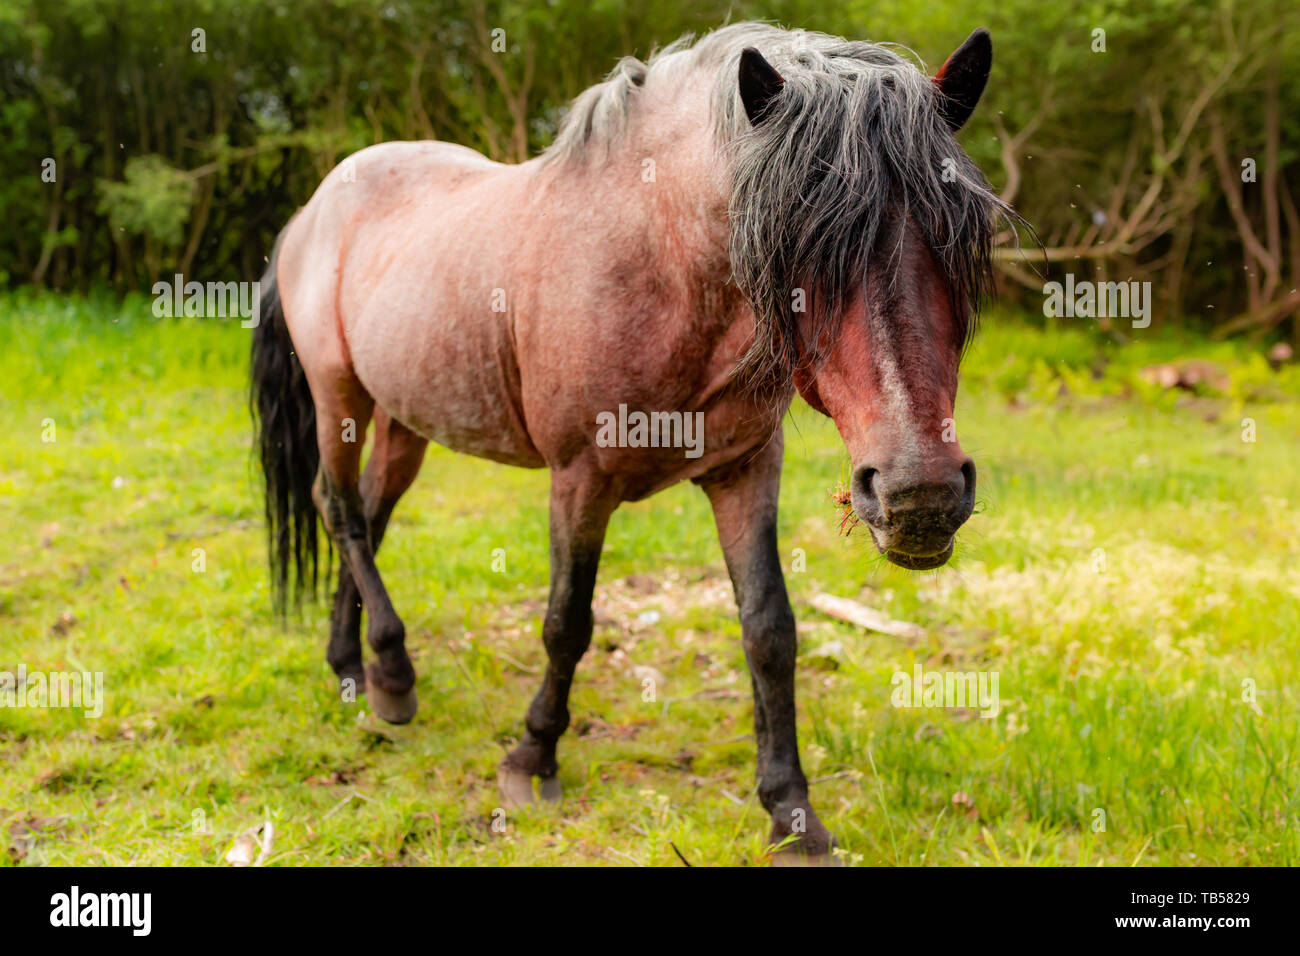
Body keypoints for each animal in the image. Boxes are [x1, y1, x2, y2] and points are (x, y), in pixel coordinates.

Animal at [250, 21, 1012, 863]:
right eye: (799, 251)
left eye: (962, 241)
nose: (920, 494)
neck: (657, 263)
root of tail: (314, 208)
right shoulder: (579, 480)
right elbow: (567, 622)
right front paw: (532, 759)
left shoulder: (746, 471)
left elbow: (770, 629)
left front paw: (792, 814)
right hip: (339, 398)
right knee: (340, 510)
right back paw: (390, 671)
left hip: (405, 419)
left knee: (368, 518)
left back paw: (356, 668)